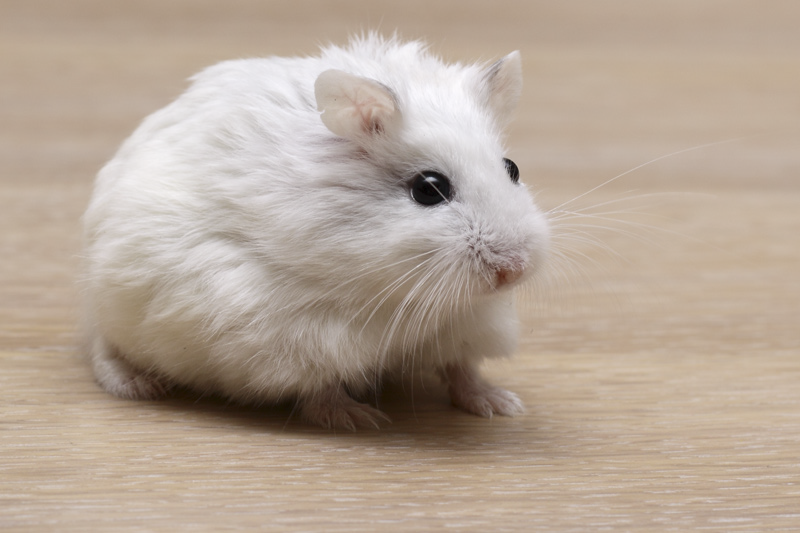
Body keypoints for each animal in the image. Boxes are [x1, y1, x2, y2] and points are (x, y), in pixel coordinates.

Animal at [81, 33, 550, 430]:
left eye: (512, 168)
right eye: (428, 189)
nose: (513, 270)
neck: (399, 295)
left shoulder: (468, 319)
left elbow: (462, 368)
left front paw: (503, 405)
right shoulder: (294, 337)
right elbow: (320, 387)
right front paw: (362, 420)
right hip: (115, 302)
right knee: (103, 346)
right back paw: (140, 386)